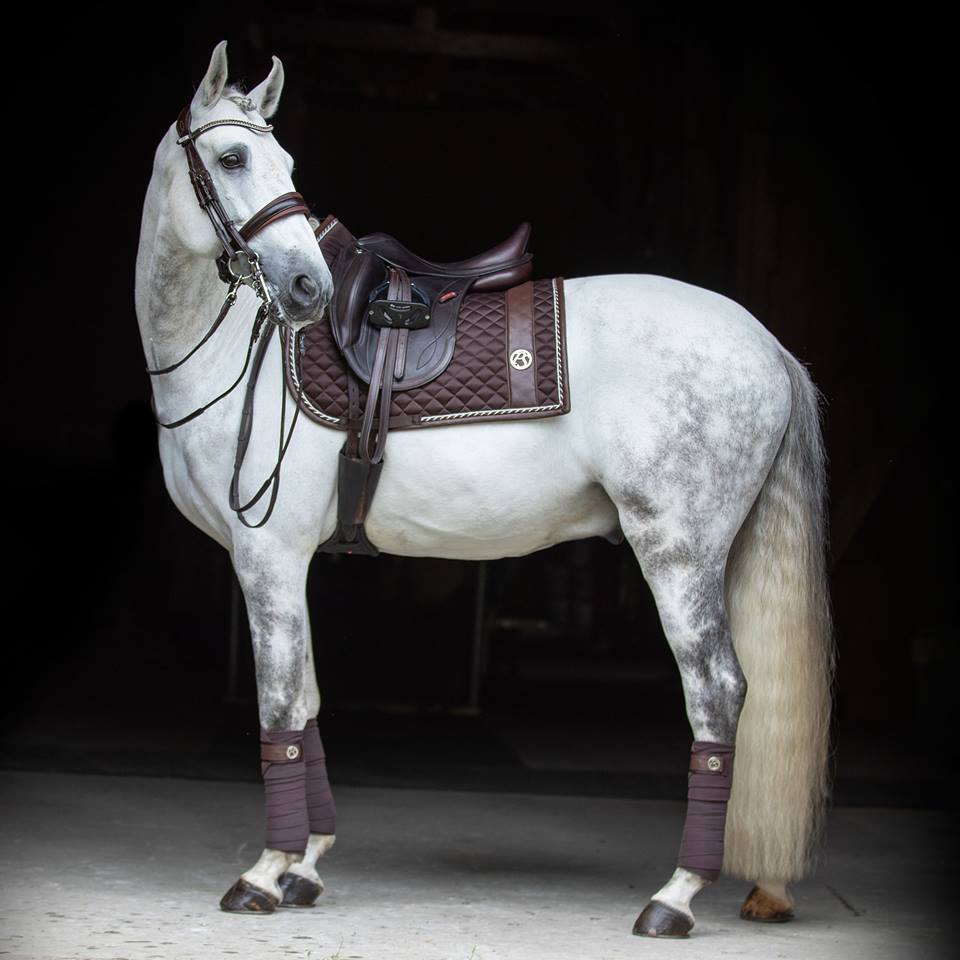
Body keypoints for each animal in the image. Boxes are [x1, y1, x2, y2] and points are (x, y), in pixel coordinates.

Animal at [135, 40, 834, 939]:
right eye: (232, 158)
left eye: (279, 162)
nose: (306, 292)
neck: (228, 351)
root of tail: (766, 343)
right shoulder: (287, 566)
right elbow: (312, 702)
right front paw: (308, 867)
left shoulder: (268, 557)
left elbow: (282, 709)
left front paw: (266, 871)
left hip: (678, 554)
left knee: (716, 693)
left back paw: (675, 895)